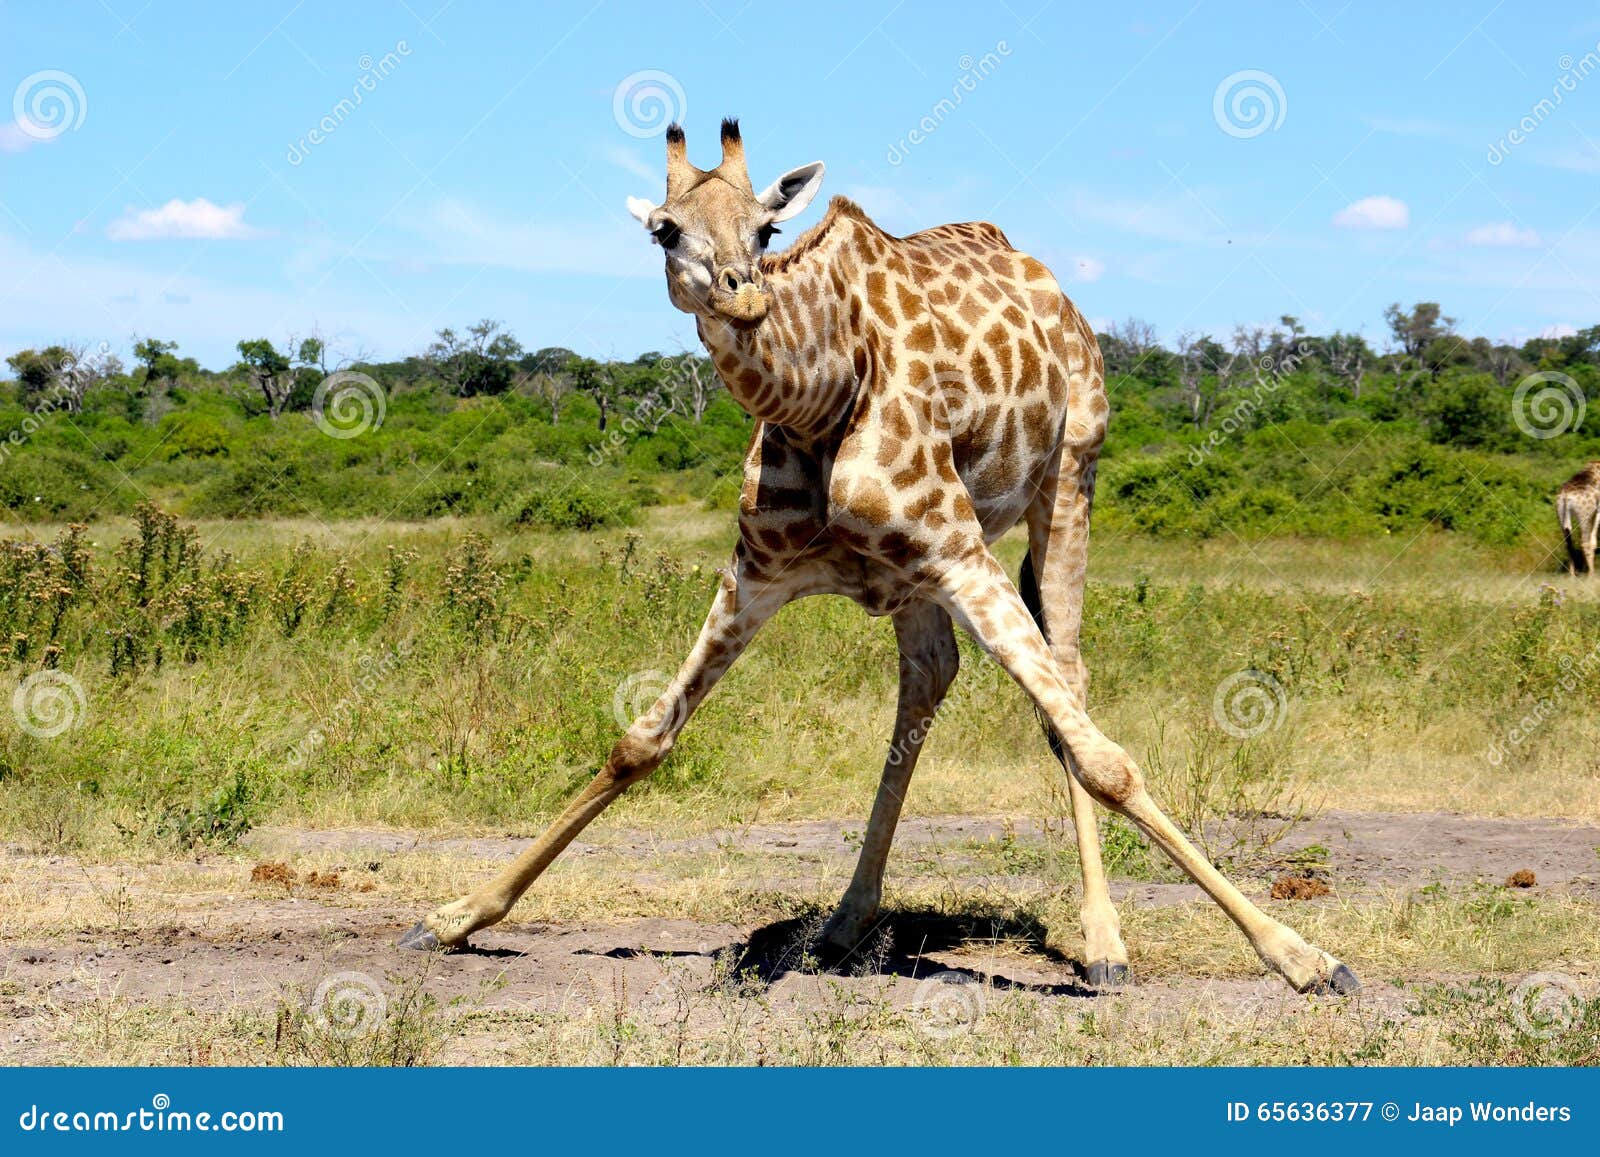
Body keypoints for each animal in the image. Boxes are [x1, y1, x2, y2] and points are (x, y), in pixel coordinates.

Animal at [402, 120, 1360, 996]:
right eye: (665, 231)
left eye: (766, 229)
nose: (744, 297)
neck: (819, 393)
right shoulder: (760, 574)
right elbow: (642, 739)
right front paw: (455, 916)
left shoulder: (960, 548)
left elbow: (1103, 757)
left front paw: (1303, 956)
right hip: (913, 578)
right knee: (932, 676)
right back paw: (843, 924)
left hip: (1067, 482)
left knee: (1067, 679)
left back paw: (1102, 942)